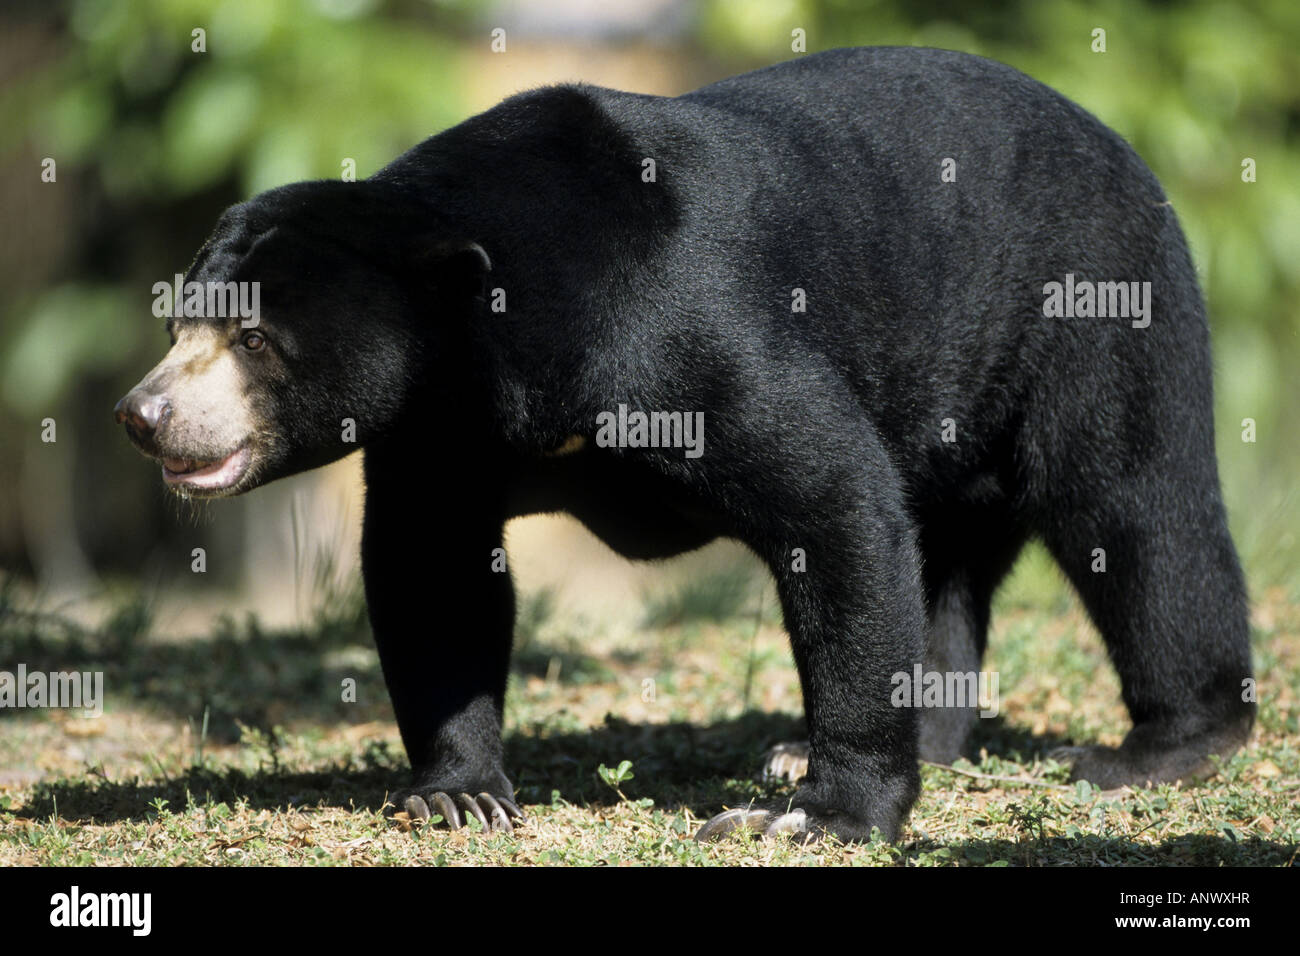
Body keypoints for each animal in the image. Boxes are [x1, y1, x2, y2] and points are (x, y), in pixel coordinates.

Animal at [115, 46, 1255, 843]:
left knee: (1135, 512)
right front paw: (459, 797)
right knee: (947, 562)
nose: (142, 415)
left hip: (1095, 309)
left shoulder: (683, 332)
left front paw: (821, 814)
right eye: (179, 323)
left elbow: (830, 499)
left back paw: (1158, 747)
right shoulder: (445, 425)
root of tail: (1123, 142)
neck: (498, 343)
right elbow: (432, 567)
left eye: (255, 340)